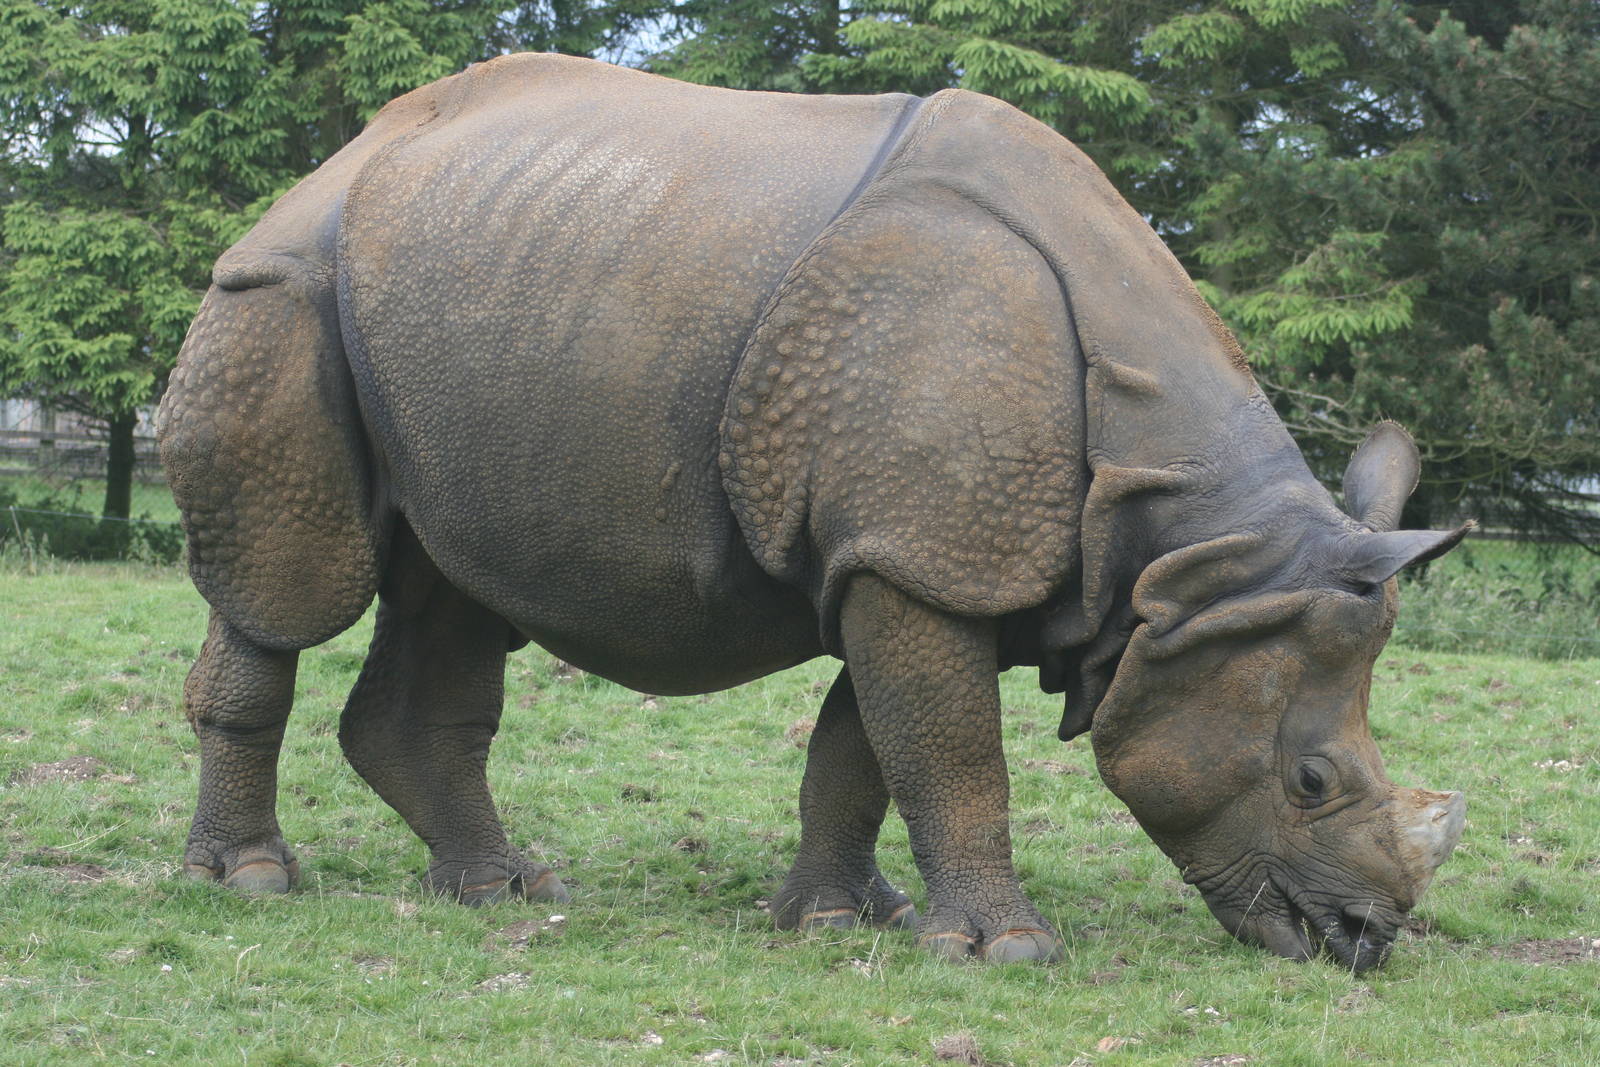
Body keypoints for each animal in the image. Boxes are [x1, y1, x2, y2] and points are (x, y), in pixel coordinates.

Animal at [158, 53, 1469, 971]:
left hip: (472, 312)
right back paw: (250, 880)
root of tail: (339, 159)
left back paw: (504, 889)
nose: (1365, 942)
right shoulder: (921, 557)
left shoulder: (910, 554)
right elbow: (948, 750)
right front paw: (1007, 949)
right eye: (1310, 781)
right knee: (288, 590)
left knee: (458, 586)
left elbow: (866, 747)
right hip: (283, 286)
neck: (1188, 558)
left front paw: (841, 919)